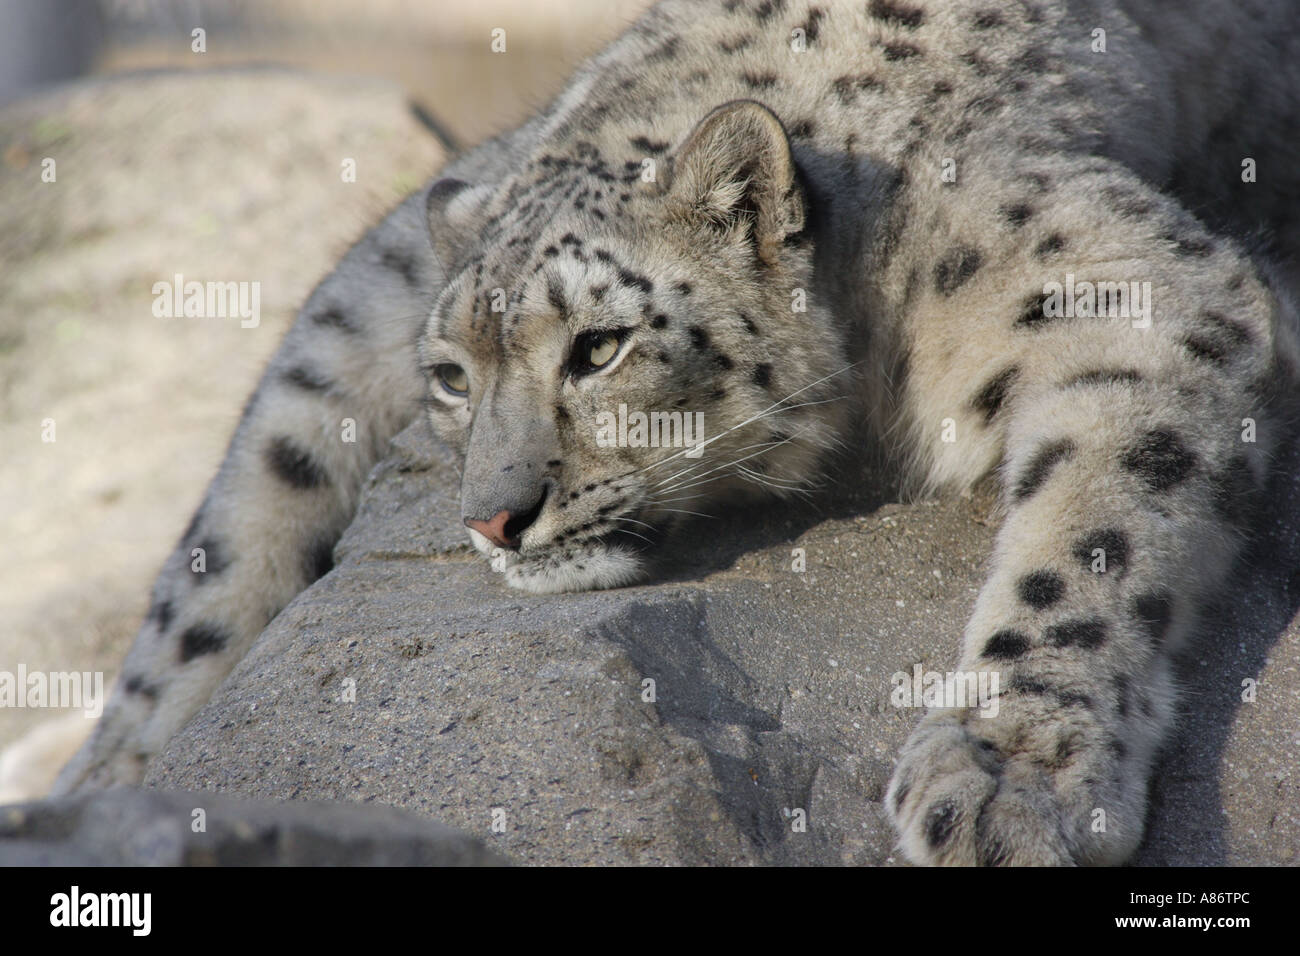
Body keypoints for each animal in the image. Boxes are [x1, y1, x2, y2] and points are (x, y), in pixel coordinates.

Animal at [52, 0, 1300, 866]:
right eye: (452, 376)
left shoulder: (1126, 282)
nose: (490, 518)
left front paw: (1005, 777)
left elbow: (1092, 536)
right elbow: (242, 504)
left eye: (599, 346)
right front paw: (117, 778)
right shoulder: (383, 273)